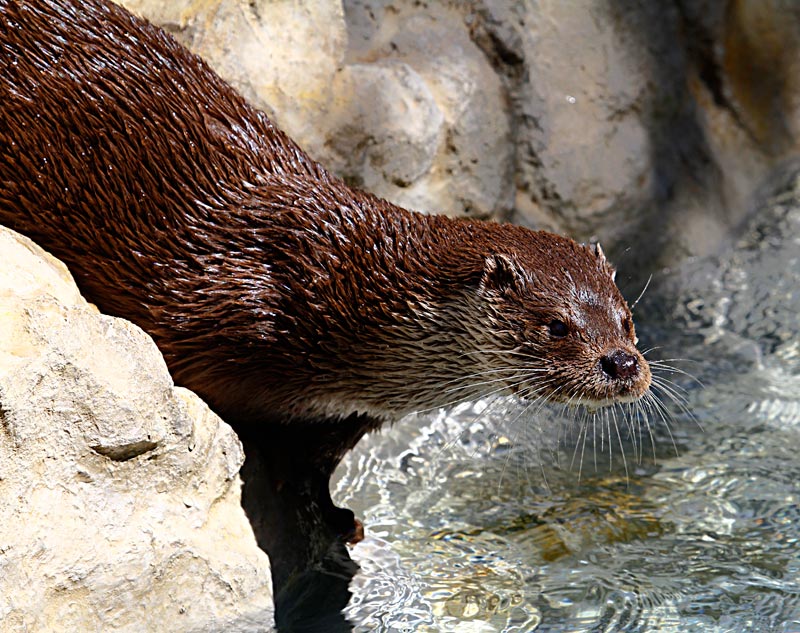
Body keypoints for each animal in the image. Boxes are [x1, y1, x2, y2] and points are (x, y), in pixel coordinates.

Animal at [0, 0, 651, 617]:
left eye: (626, 320)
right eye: (557, 325)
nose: (621, 364)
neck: (332, 302)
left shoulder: (347, 413)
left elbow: (314, 469)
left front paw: (337, 519)